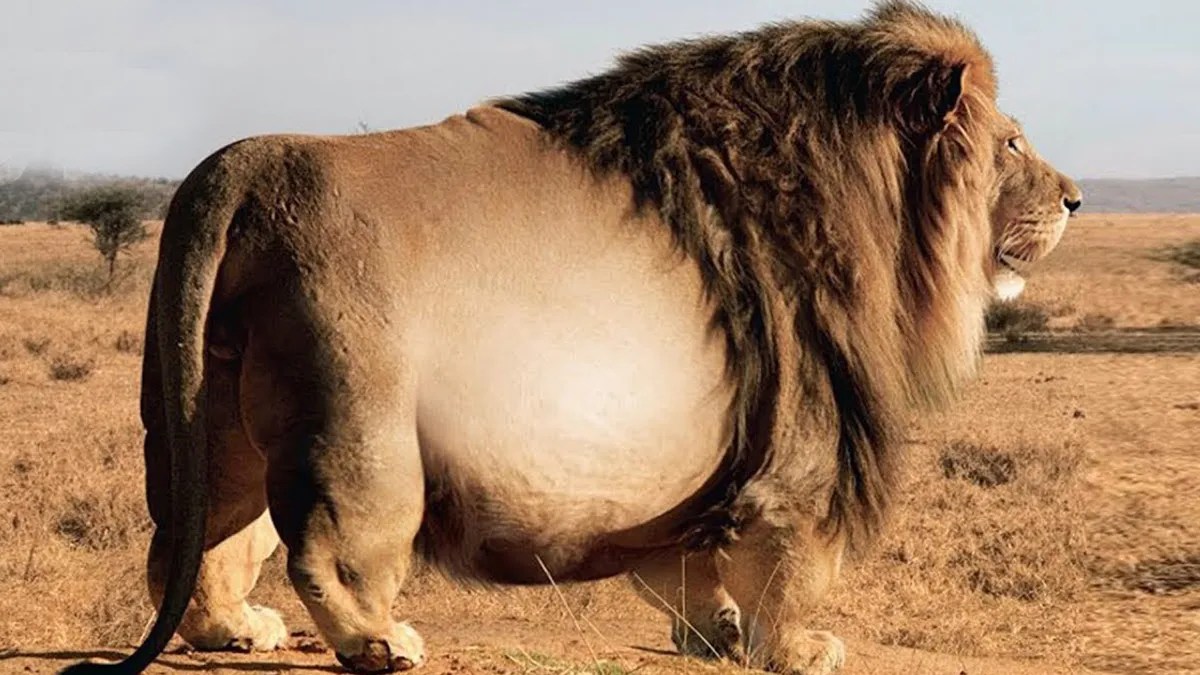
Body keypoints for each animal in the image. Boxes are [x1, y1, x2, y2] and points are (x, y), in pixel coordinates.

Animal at [64, 2, 1080, 674]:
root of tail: (245, 164)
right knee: (325, 545)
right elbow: (786, 563)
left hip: (209, 411)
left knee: (193, 534)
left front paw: (711, 635)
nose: (1076, 197)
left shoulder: (700, 453)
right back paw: (379, 641)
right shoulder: (803, 438)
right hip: (363, 425)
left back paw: (234, 628)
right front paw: (799, 647)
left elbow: (687, 560)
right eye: (1013, 144)